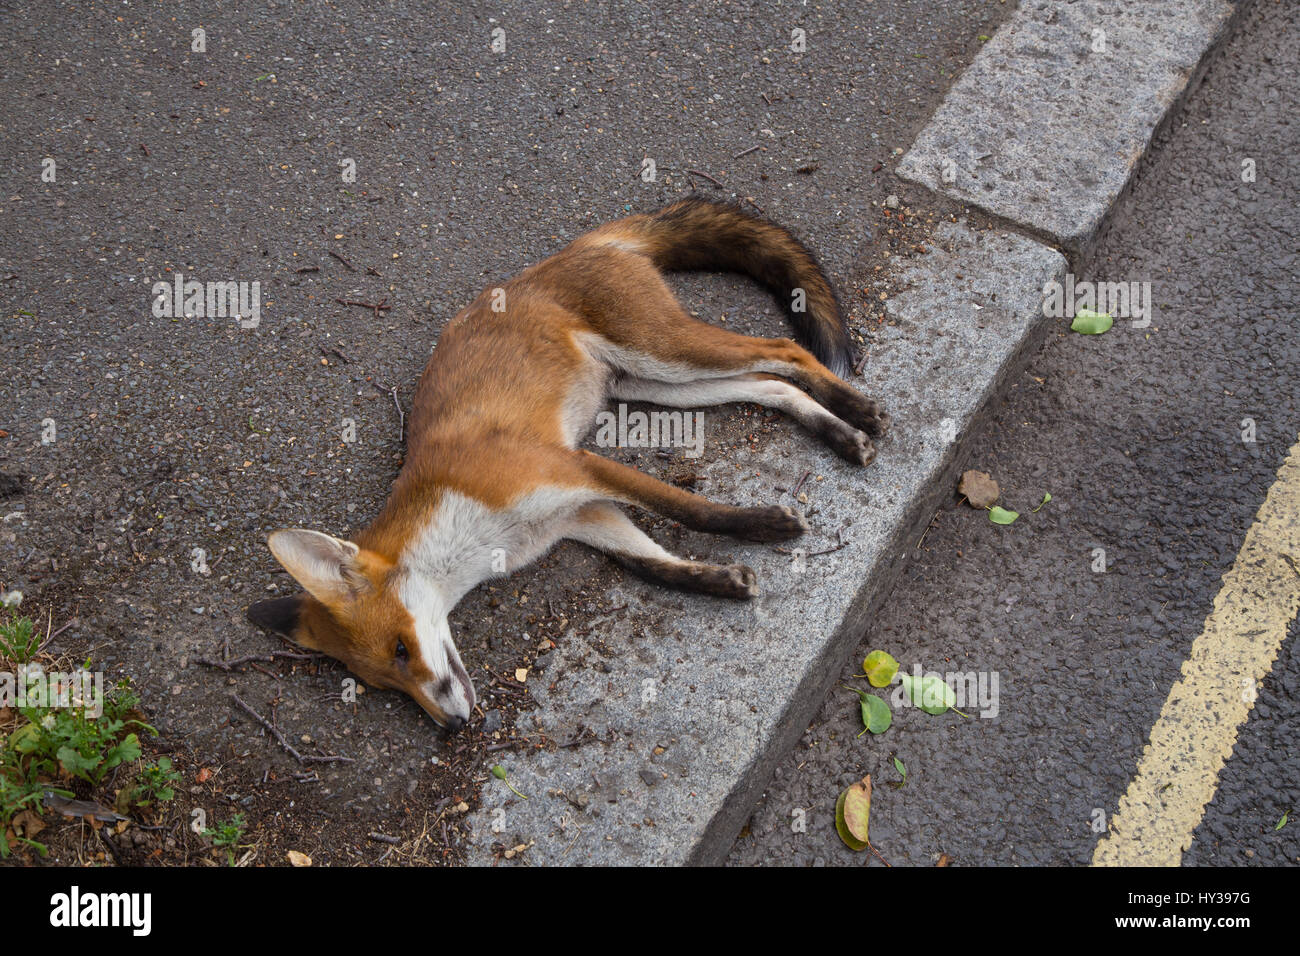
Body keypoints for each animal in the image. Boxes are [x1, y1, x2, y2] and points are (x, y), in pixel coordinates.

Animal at [247, 197, 888, 731]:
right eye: (384, 683)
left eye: (402, 650)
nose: (452, 726)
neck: (474, 538)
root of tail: (579, 247)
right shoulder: (580, 515)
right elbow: (652, 564)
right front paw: (722, 581)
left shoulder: (575, 468)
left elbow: (690, 510)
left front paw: (766, 527)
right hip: (658, 384)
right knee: (769, 385)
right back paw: (839, 432)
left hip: (664, 351)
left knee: (786, 351)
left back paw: (856, 409)